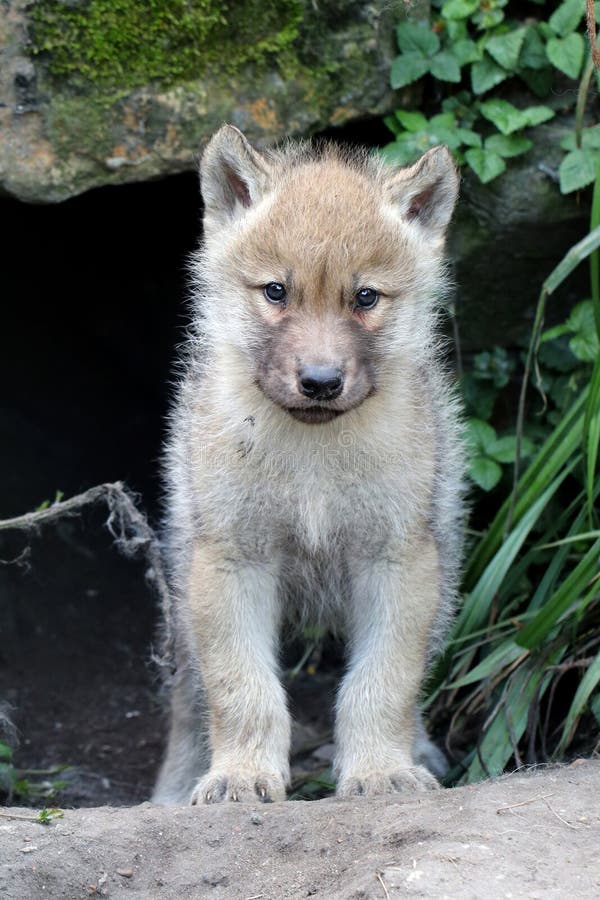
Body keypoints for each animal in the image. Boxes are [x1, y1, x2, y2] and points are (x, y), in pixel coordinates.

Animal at [152, 125, 464, 805]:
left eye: (365, 297)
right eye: (276, 292)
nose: (320, 382)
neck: (313, 459)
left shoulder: (397, 561)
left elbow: (383, 684)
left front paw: (380, 771)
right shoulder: (231, 560)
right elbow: (241, 690)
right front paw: (241, 777)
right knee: (188, 701)